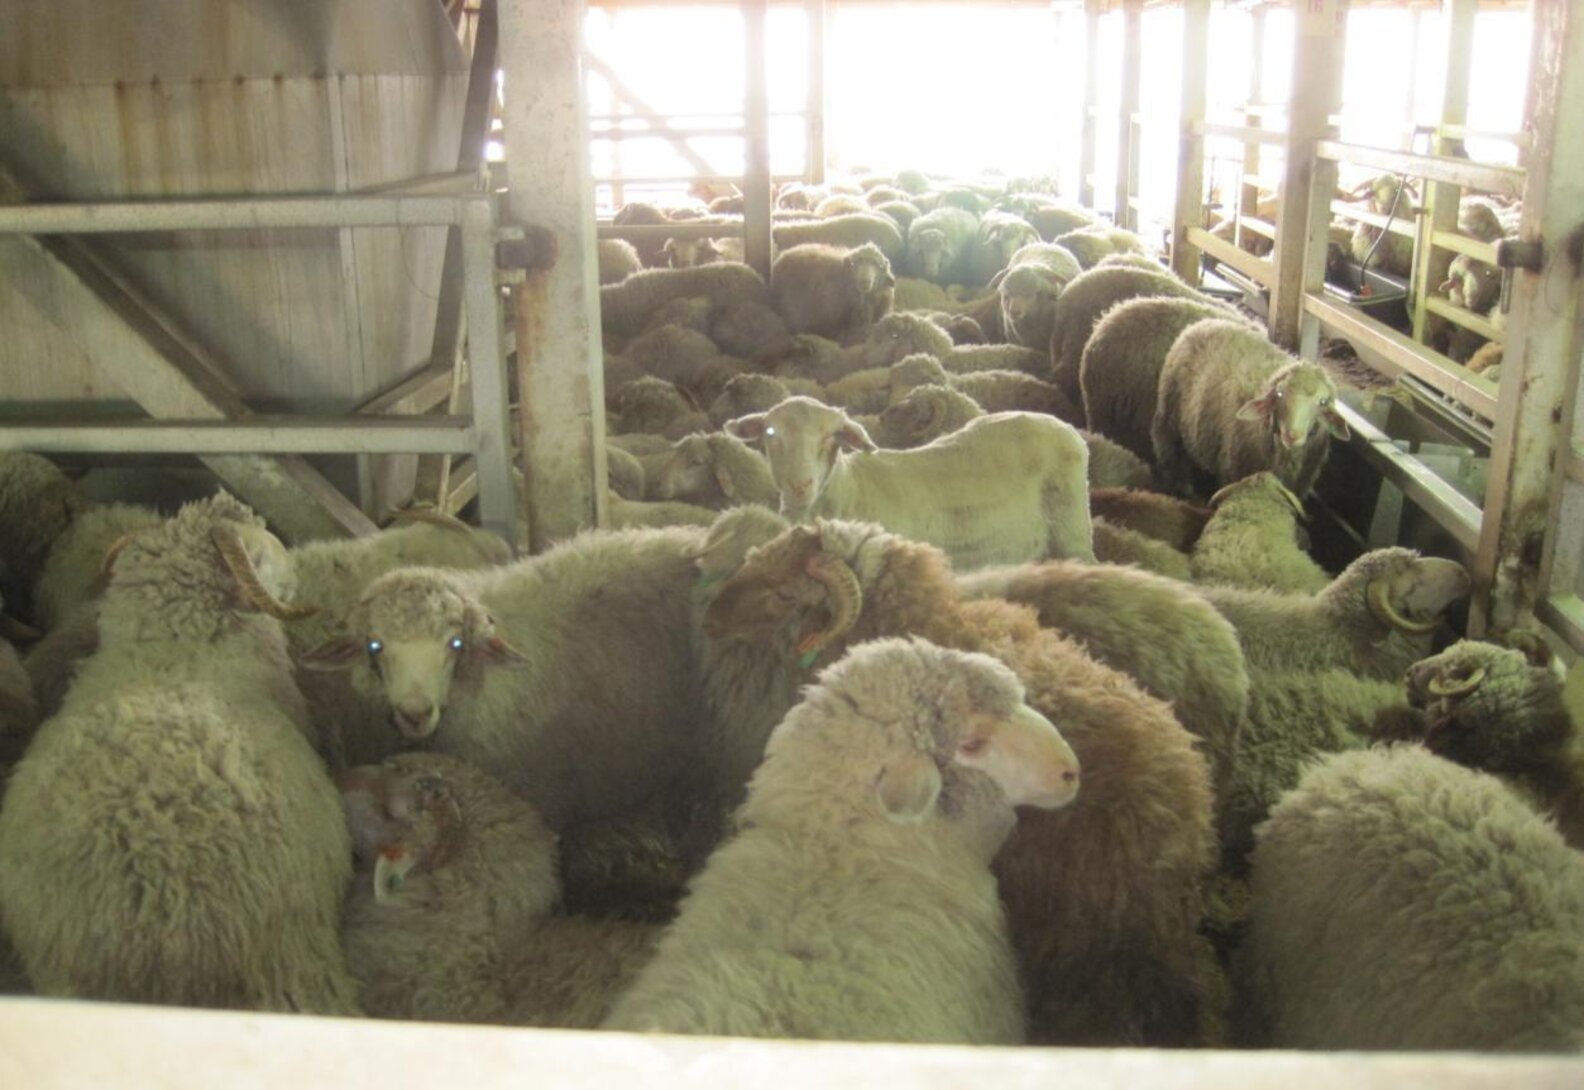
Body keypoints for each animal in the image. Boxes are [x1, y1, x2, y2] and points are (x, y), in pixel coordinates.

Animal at [726, 397, 1093, 568]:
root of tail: (1063, 426)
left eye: (831, 437)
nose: (799, 485)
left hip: (1073, 531)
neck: (851, 489)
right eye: (770, 433)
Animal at [1152, 319, 1348, 498]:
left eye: (1323, 402)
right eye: (1279, 394)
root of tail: (1204, 322)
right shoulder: (1233, 473)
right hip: (1168, 415)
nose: (1292, 436)